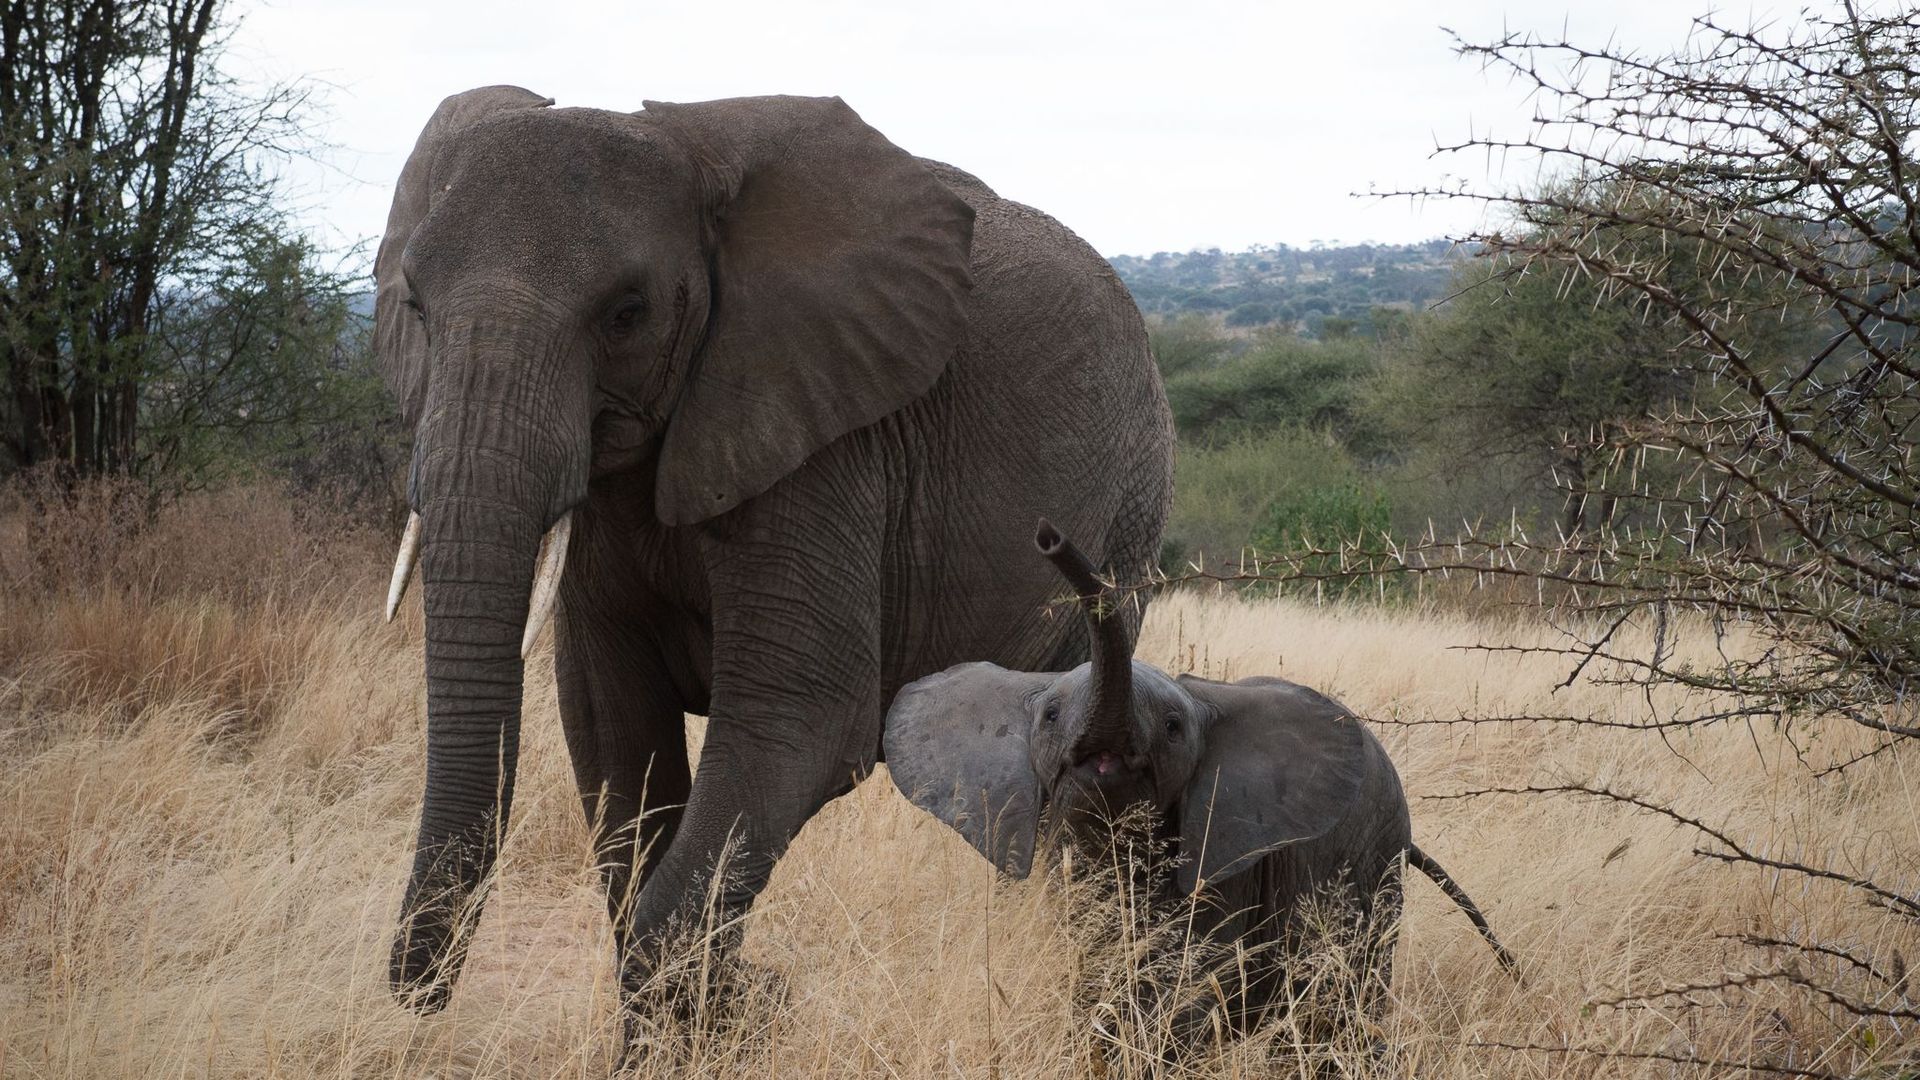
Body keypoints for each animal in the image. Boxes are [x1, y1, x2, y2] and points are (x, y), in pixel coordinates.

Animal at [371, 87, 1174, 1018]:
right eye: (415, 307)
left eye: (627, 314)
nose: (418, 992)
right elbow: (613, 731)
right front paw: (722, 1008)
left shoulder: (827, 438)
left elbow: (798, 723)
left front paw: (736, 1000)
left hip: (1127, 521)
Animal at [883, 521, 1513, 1043]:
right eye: (1051, 716)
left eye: (1173, 727)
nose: (1048, 537)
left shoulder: (1229, 859)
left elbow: (1193, 978)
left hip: (1374, 856)